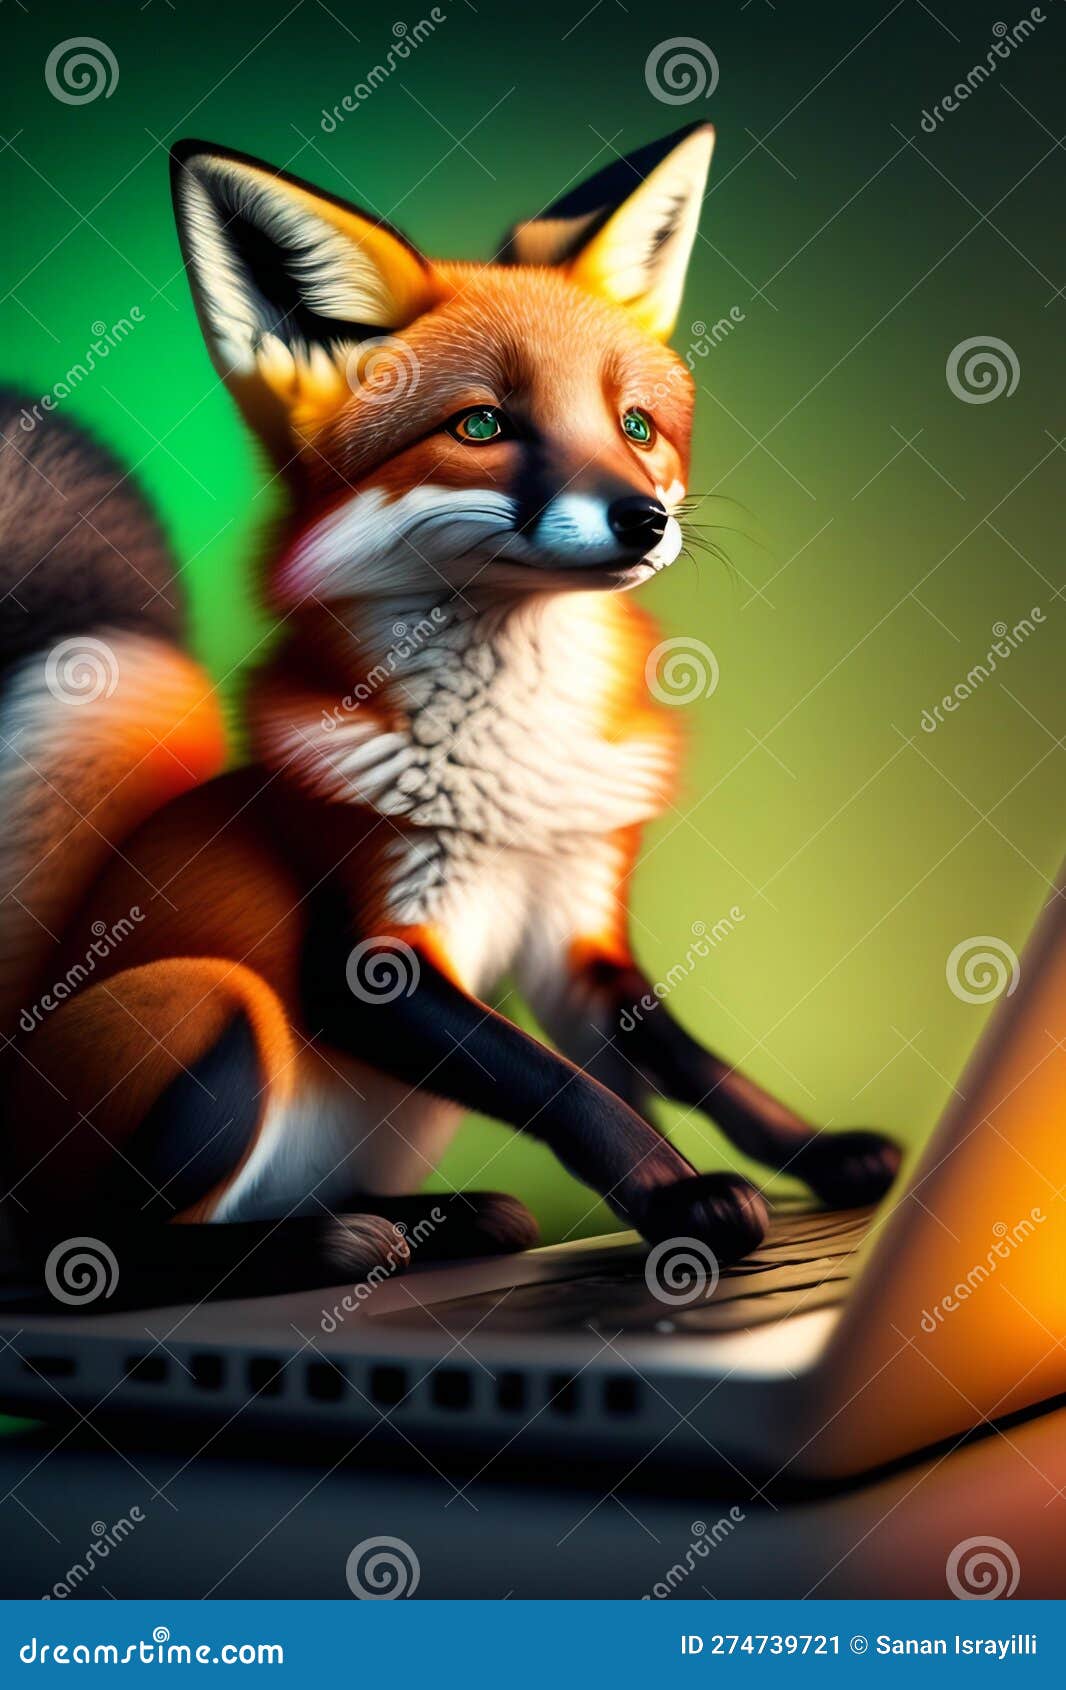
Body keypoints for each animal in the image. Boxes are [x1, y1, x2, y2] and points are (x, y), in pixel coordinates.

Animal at [0, 122, 900, 1304]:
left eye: (635, 426)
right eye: (481, 425)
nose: (645, 519)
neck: (513, 776)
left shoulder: (572, 930)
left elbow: (688, 1065)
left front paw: (819, 1154)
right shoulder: (370, 960)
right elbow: (565, 1089)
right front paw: (680, 1200)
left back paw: (444, 1220)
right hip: (219, 1009)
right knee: (70, 1258)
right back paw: (325, 1244)